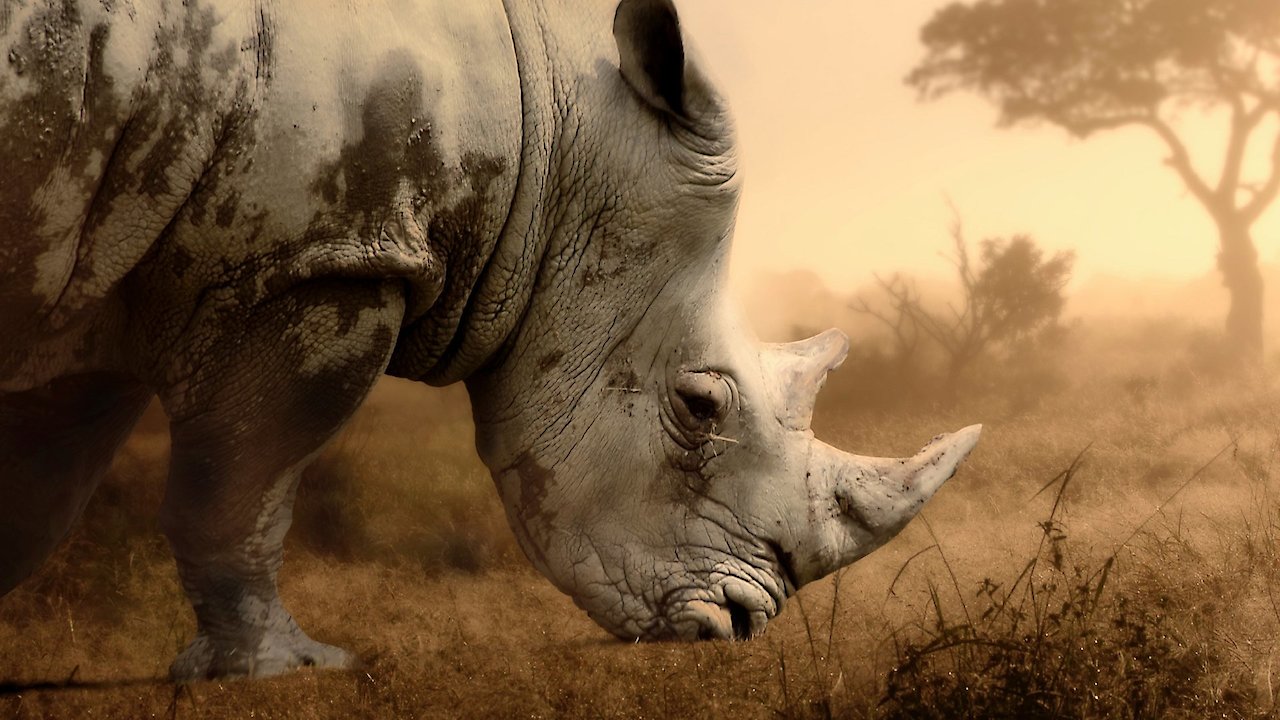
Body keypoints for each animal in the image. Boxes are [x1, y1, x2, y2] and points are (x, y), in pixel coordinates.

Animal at [0, 0, 980, 681]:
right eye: (699, 407)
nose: (742, 628)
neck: (558, 126)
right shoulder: (321, 258)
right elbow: (242, 484)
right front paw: (285, 671)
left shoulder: (99, 267)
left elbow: (43, 488)